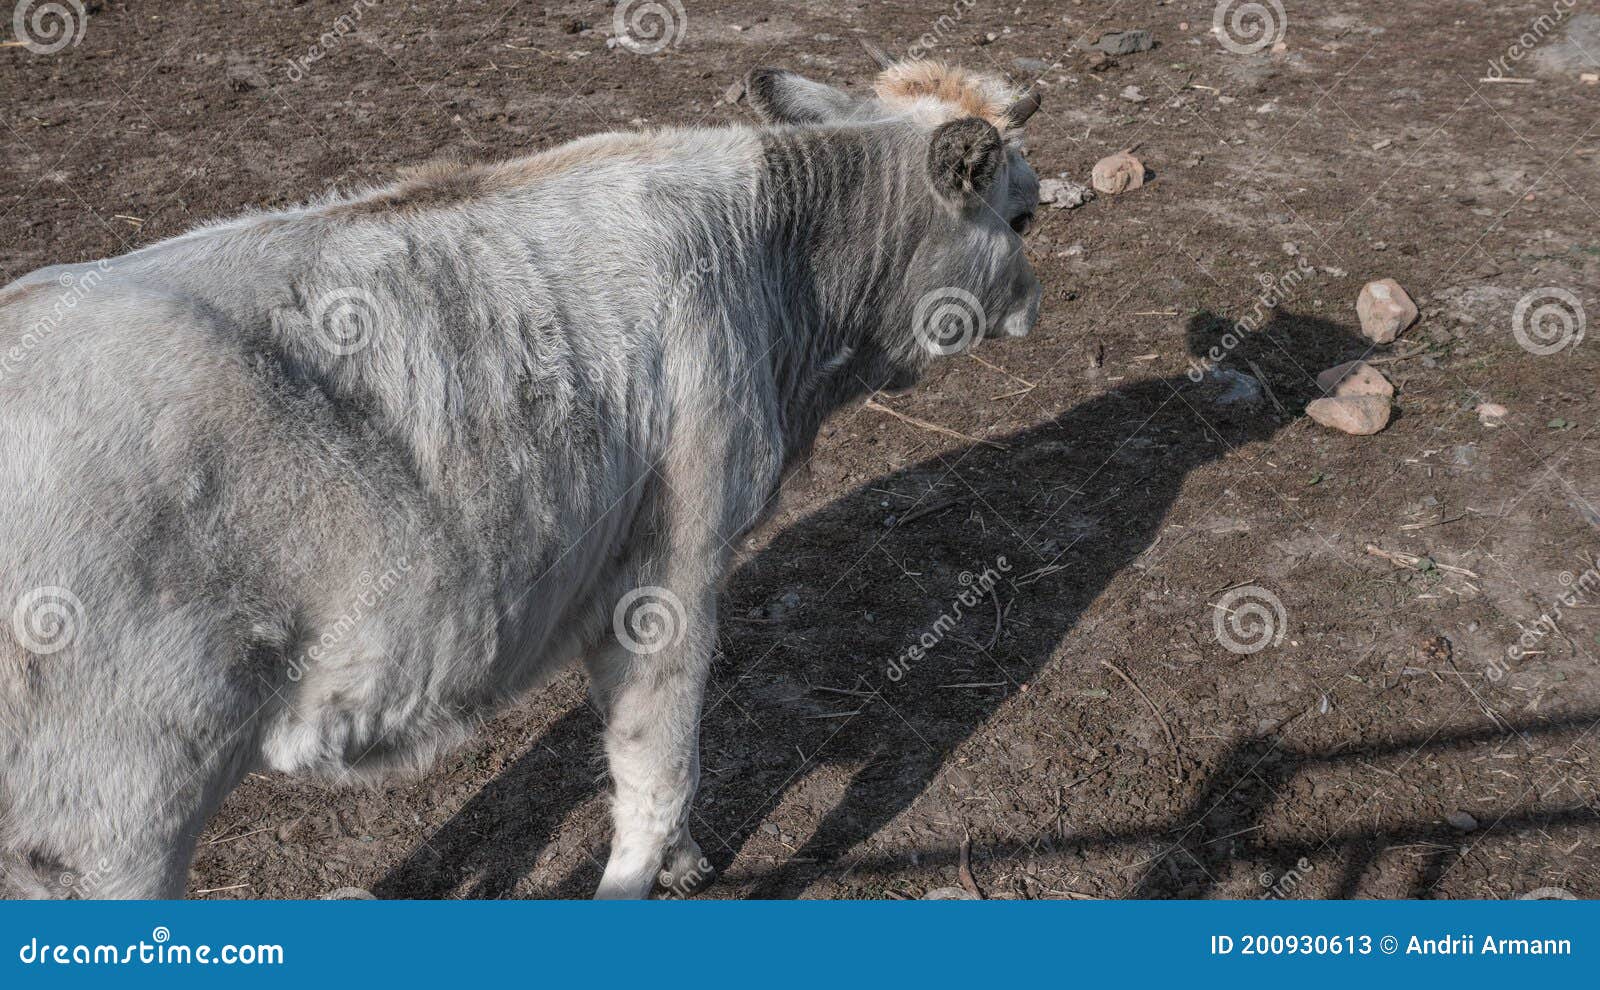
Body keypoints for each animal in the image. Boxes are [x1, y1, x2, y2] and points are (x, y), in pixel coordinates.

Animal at [0, 60, 1043, 899]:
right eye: (1024, 214)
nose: (1035, 303)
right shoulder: (676, 562)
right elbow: (659, 765)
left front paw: (688, 862)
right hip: (112, 813)